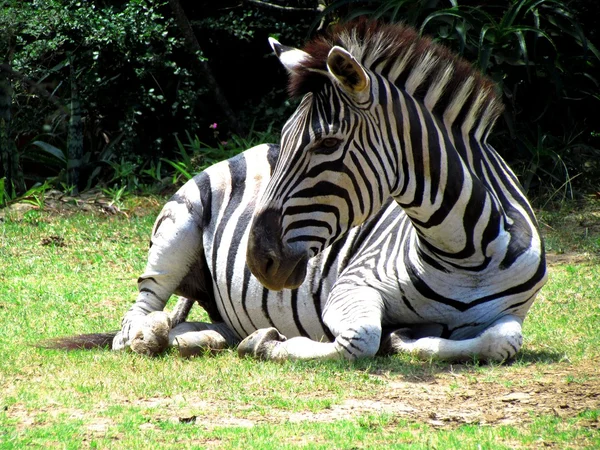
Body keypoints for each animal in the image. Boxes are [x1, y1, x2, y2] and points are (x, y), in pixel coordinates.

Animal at [243, 19, 548, 362]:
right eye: (283, 137)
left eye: (328, 143)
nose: (258, 260)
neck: (467, 258)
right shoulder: (352, 283)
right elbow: (362, 337)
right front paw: (265, 341)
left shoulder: (513, 313)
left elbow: (503, 340)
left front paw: (400, 338)